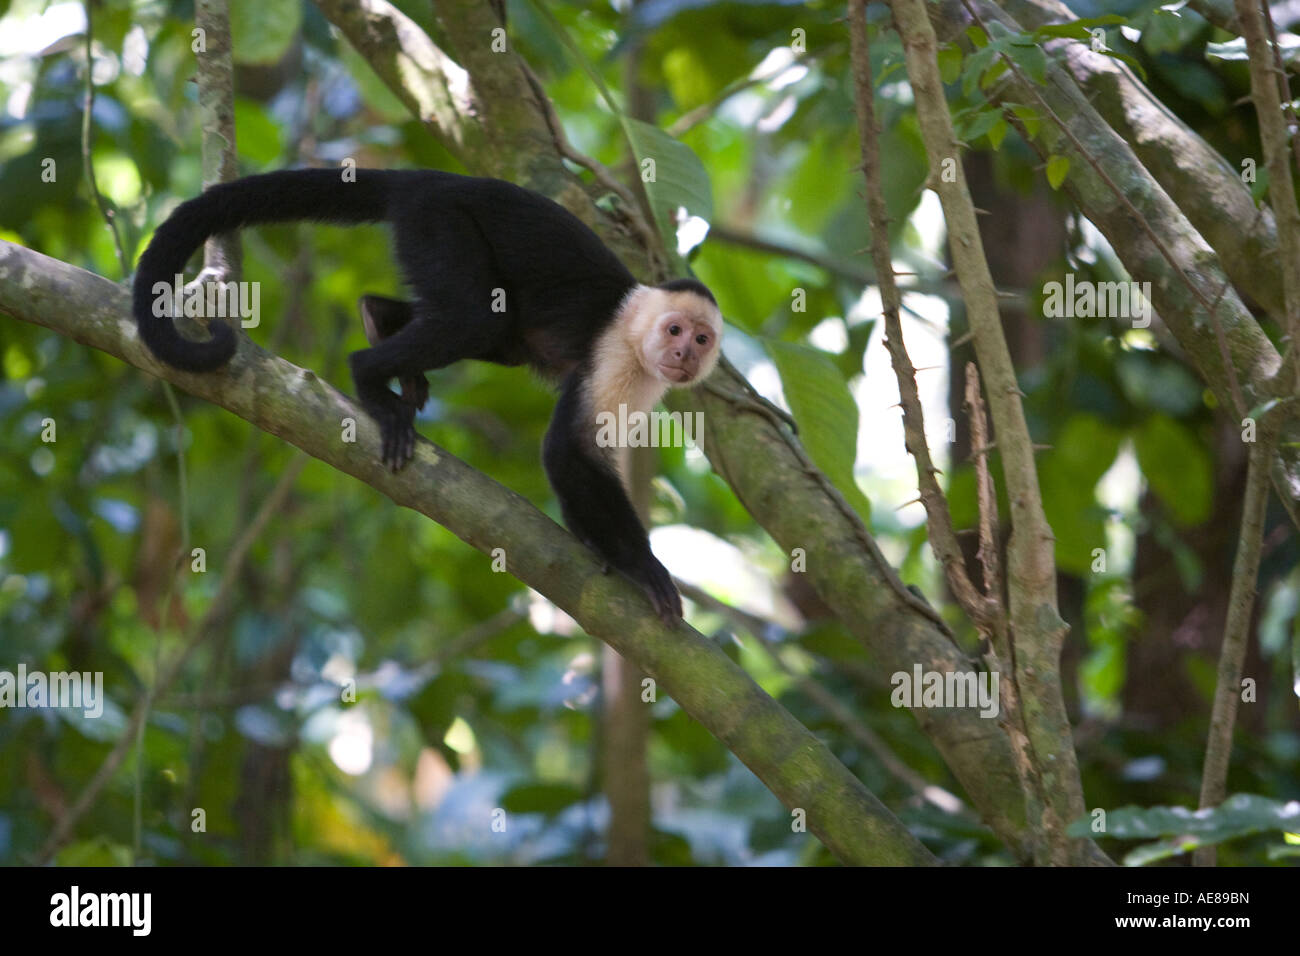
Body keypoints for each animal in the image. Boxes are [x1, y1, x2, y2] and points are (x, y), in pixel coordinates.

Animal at [131, 168, 723, 621]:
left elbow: (589, 452)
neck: (637, 333)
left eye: (701, 339)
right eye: (675, 330)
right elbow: (567, 449)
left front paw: (595, 541)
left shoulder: (647, 379)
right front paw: (639, 564)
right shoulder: (618, 355)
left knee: (498, 332)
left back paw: (379, 317)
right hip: (440, 222)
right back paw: (371, 376)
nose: (685, 355)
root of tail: (432, 177)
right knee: (477, 318)